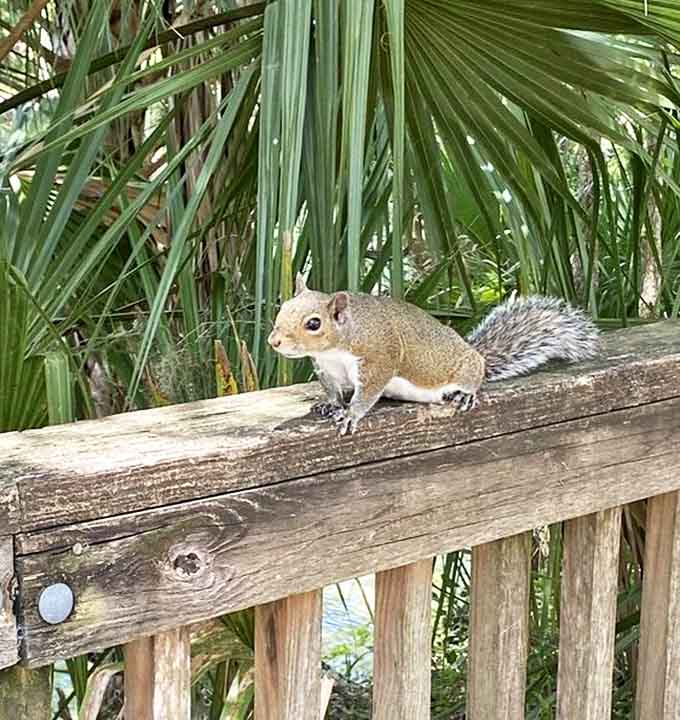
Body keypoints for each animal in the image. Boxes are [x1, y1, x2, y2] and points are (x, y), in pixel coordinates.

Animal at [268, 273, 599, 435]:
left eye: (314, 324)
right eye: (282, 308)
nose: (274, 341)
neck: (335, 349)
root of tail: (476, 354)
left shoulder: (378, 359)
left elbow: (367, 393)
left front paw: (351, 414)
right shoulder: (328, 369)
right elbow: (334, 391)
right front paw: (330, 404)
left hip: (466, 368)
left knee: (472, 377)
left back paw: (465, 394)